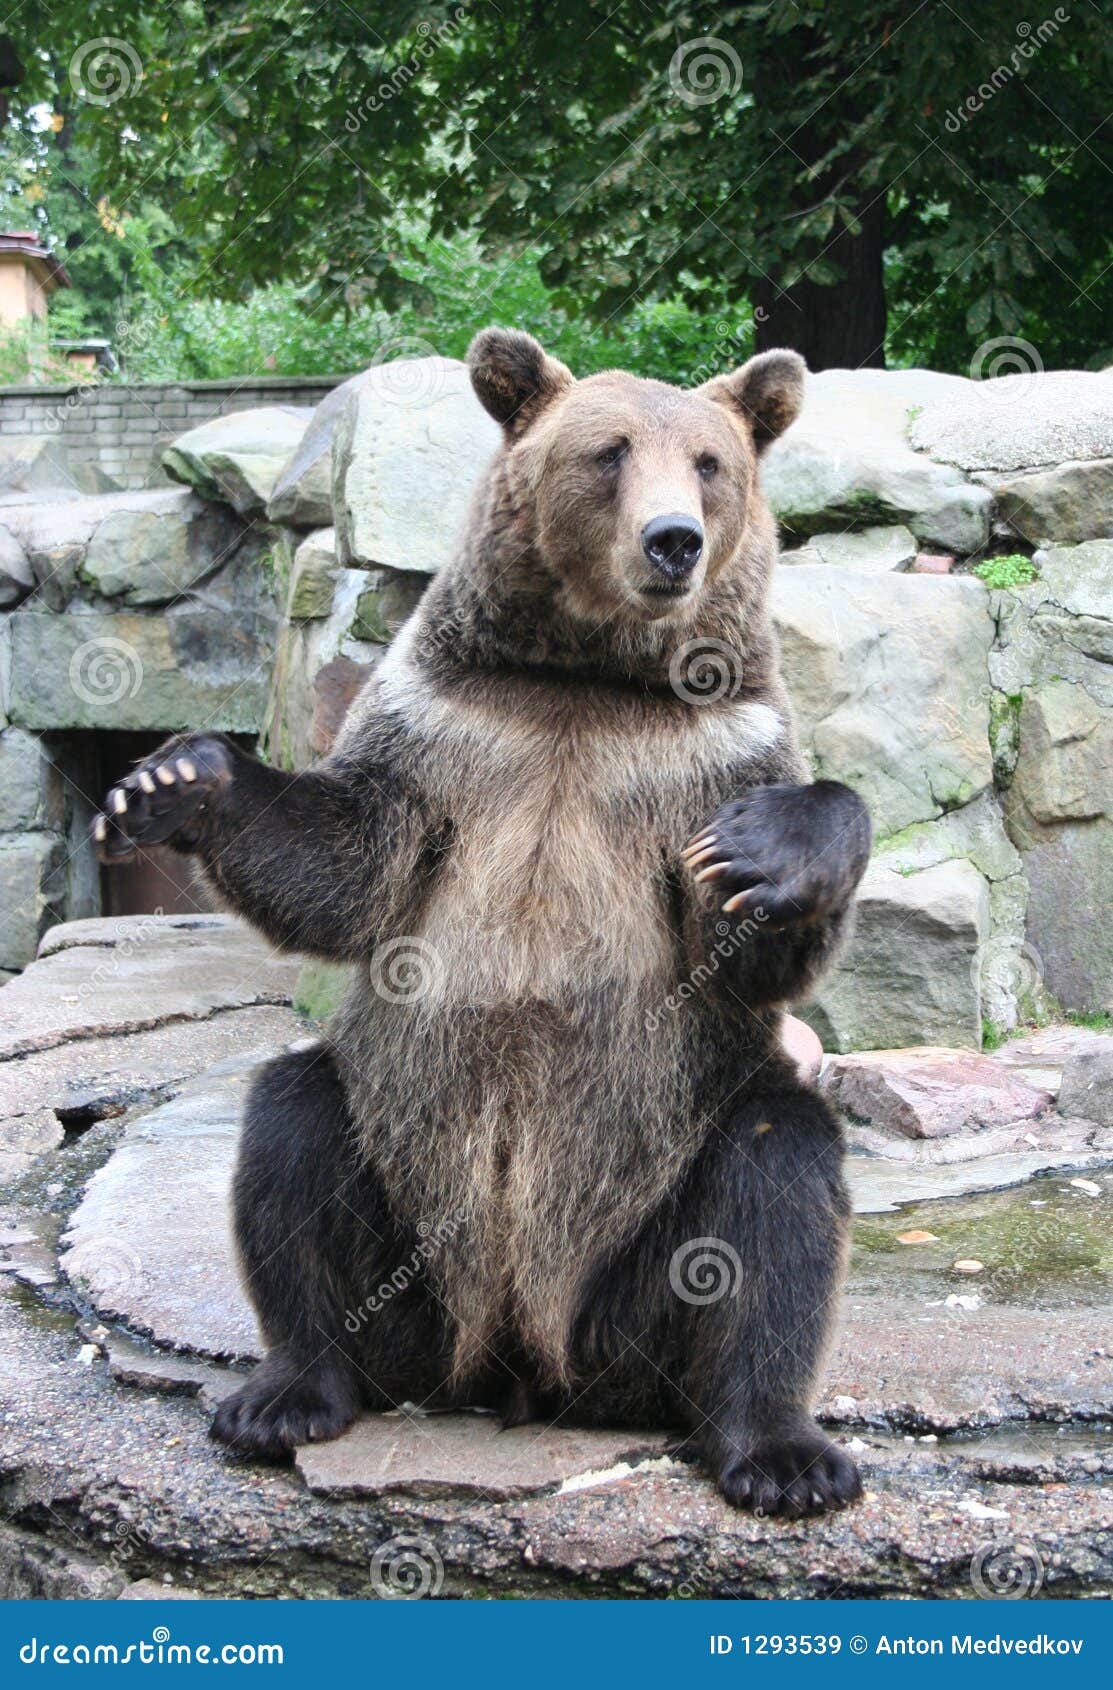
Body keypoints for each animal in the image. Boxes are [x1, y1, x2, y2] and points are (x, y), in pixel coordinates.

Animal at [94, 328, 871, 1517]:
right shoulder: (448, 728)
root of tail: (514, 1356)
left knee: (772, 1172)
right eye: (608, 450)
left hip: (640, 1265)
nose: (673, 542)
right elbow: (343, 864)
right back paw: (289, 1391)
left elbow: (747, 949)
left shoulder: (709, 756)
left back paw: (780, 1452)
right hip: (403, 1225)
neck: (591, 678)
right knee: (295, 1127)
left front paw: (769, 852)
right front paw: (169, 779)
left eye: (709, 463)